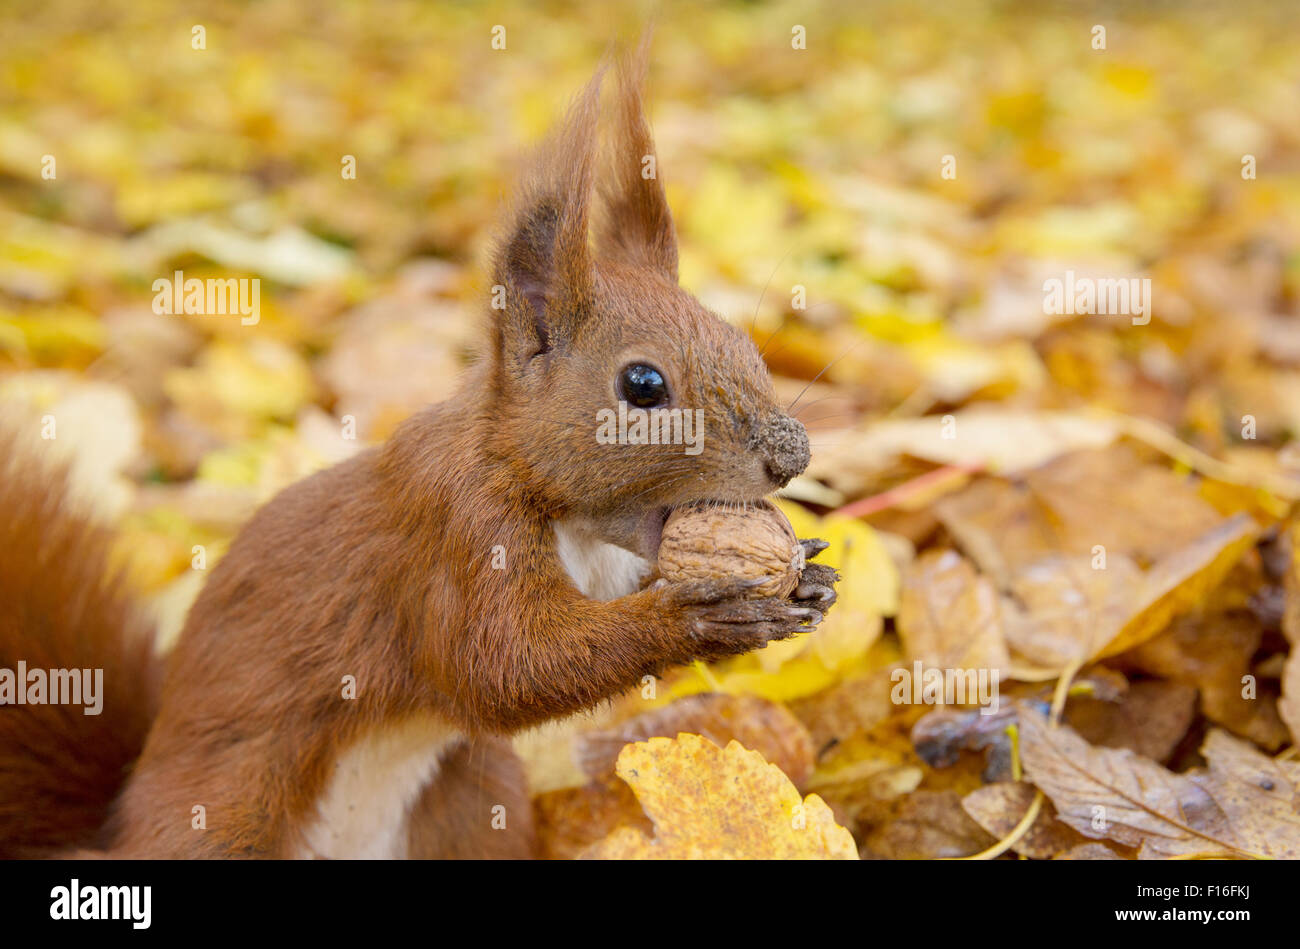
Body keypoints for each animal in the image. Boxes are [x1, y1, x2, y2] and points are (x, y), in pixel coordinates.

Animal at [0, 45, 838, 859]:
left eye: (743, 340)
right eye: (643, 384)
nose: (791, 456)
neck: (558, 508)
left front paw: (809, 574)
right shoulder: (455, 535)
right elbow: (507, 666)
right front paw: (701, 614)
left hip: (474, 801)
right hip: (229, 805)